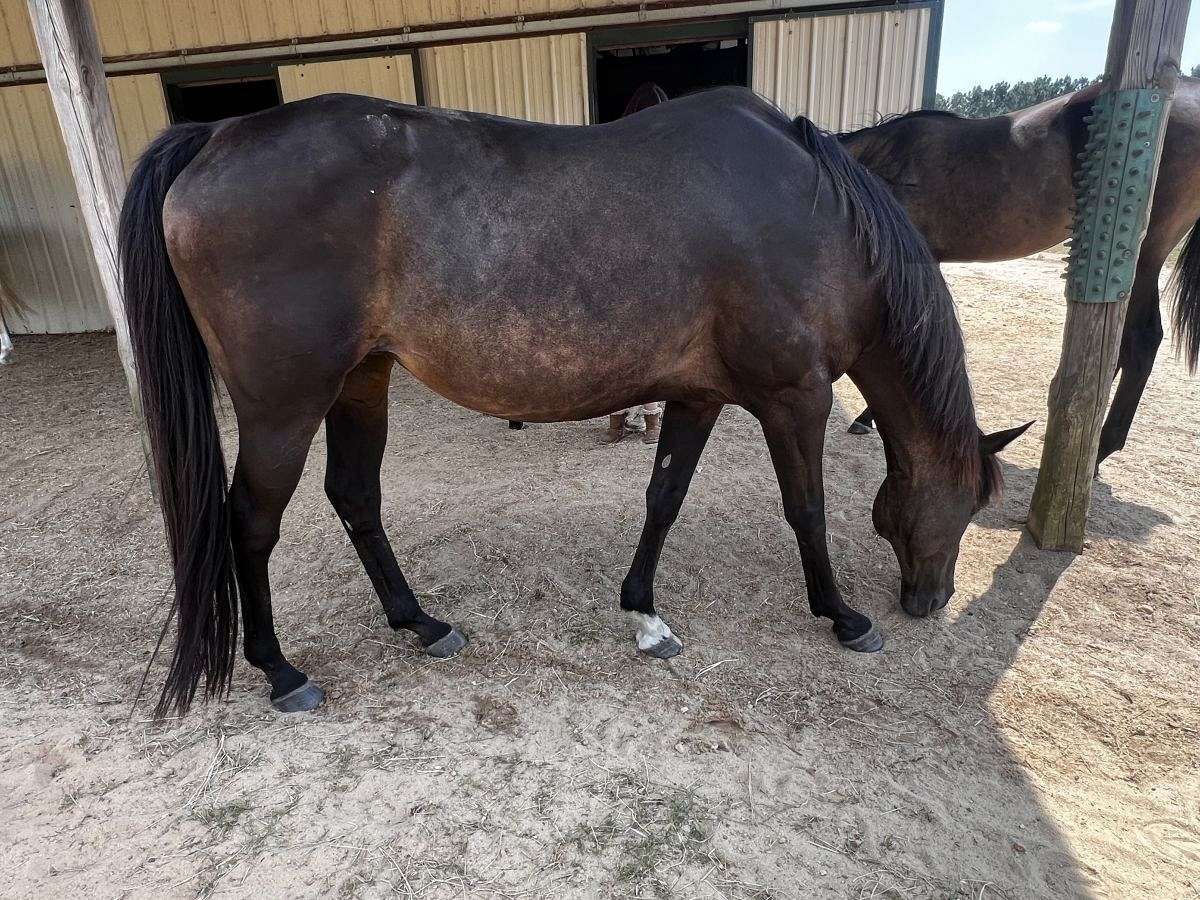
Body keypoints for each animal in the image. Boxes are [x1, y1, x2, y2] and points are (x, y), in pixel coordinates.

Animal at [119, 86, 1029, 716]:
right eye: (967, 504)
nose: (931, 601)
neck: (815, 218)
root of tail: (216, 137)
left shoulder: (697, 397)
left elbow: (665, 496)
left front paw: (644, 614)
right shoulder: (793, 396)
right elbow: (805, 508)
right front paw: (843, 616)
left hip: (360, 382)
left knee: (354, 497)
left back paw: (422, 624)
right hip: (284, 405)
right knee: (251, 522)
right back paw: (281, 671)